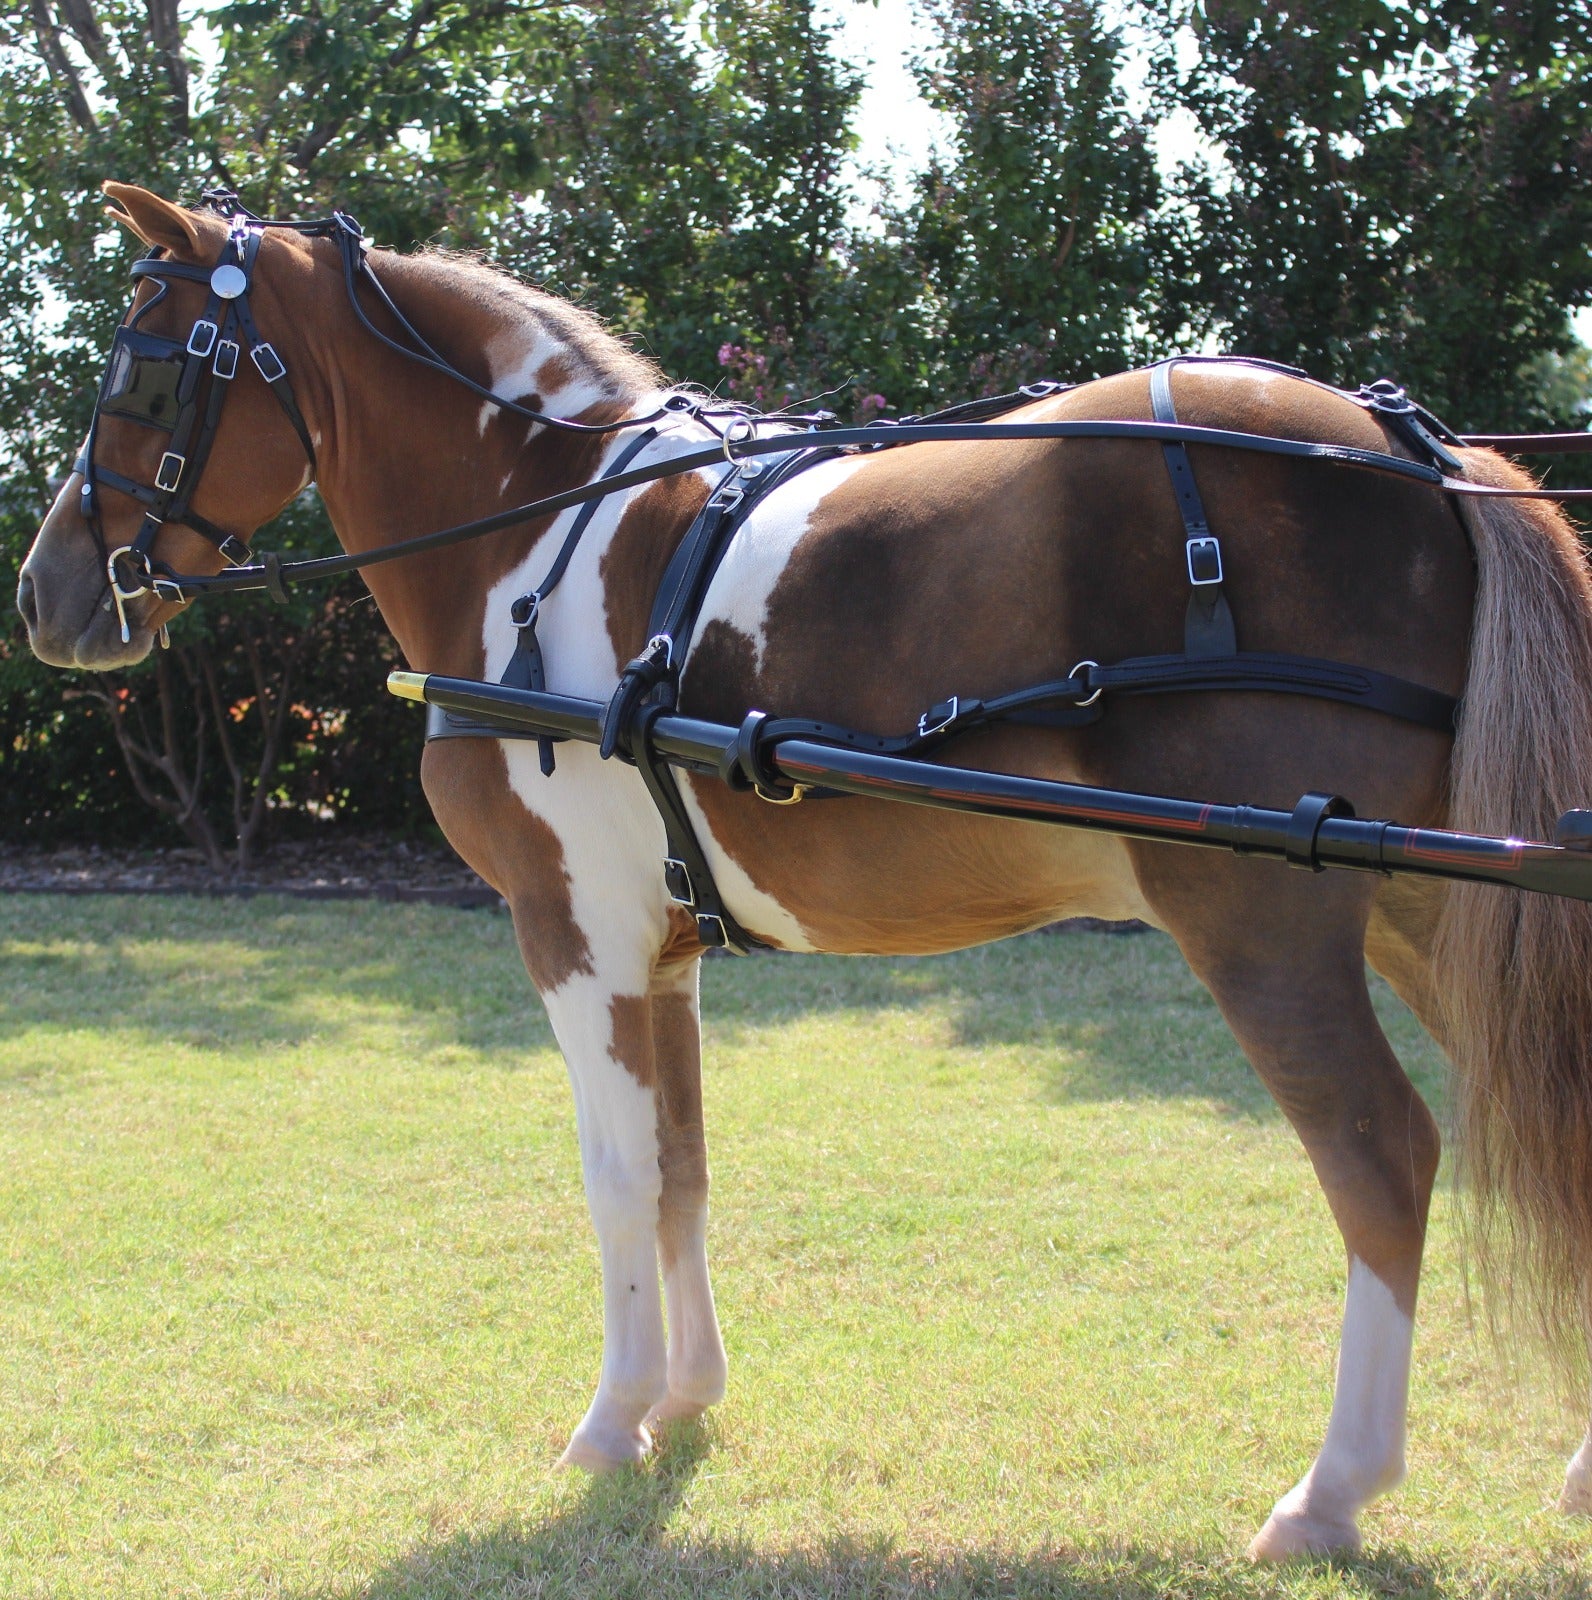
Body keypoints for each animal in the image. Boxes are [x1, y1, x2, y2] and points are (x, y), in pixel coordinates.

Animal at [18, 181, 1592, 1560]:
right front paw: (683, 1400)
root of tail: (1417, 457)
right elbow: (682, 1168)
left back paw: (1330, 1493)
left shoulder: (570, 930)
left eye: (143, 376)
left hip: (1268, 918)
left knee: (1381, 1159)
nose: (46, 593)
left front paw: (610, 1421)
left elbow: (614, 1176)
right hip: (1427, 912)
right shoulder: (660, 949)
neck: (538, 525)